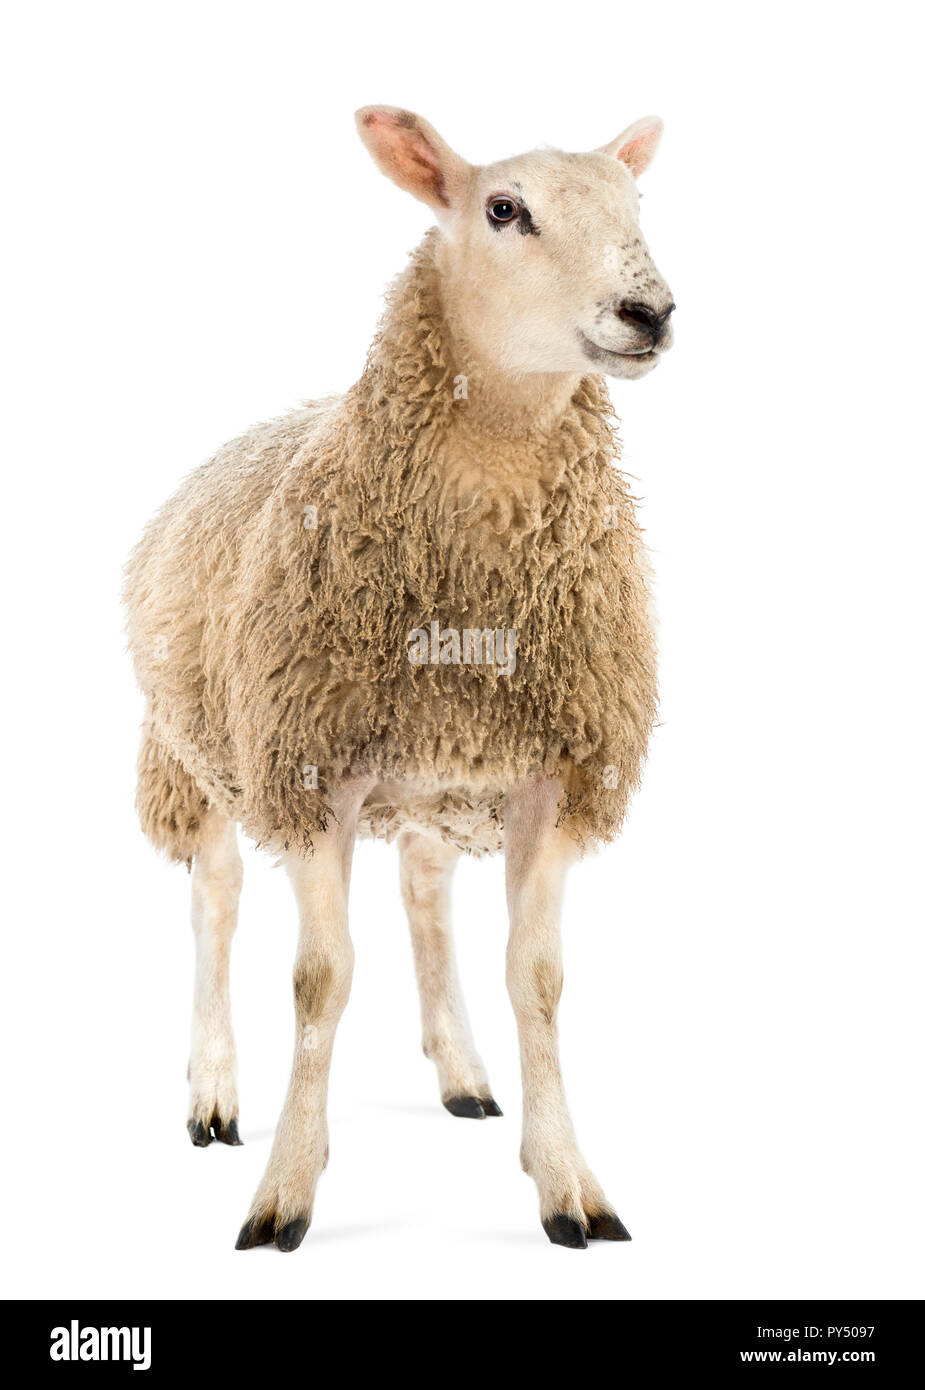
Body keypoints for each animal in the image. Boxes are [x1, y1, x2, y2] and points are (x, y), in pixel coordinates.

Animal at [124, 105, 674, 1251]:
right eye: (503, 209)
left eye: (635, 204)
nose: (649, 313)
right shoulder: (308, 770)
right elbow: (318, 979)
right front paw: (284, 1194)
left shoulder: (552, 775)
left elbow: (538, 978)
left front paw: (568, 1183)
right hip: (194, 753)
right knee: (214, 903)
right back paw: (213, 1092)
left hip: (437, 769)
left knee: (424, 889)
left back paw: (462, 1073)